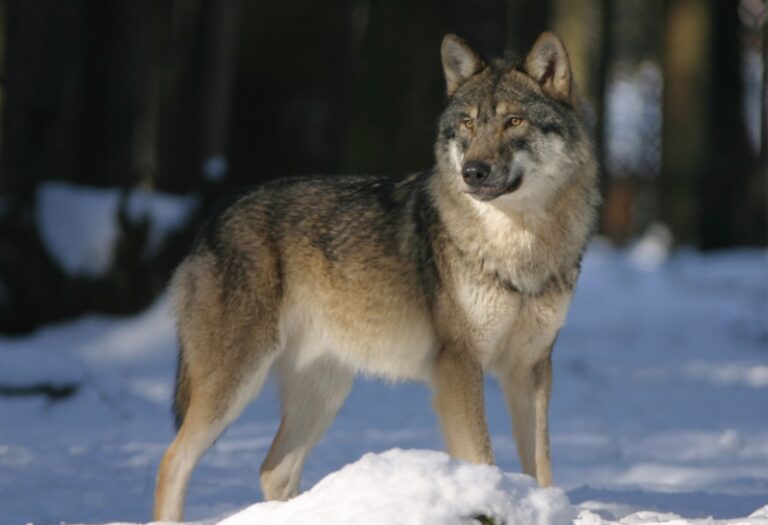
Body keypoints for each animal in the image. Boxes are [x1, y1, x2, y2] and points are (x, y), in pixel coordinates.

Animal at [154, 31, 599, 521]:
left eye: (514, 121)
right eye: (467, 124)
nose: (472, 172)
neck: (518, 247)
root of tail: (215, 216)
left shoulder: (531, 368)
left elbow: (541, 467)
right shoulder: (459, 366)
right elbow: (482, 457)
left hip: (325, 391)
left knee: (273, 470)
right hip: (235, 382)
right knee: (173, 459)